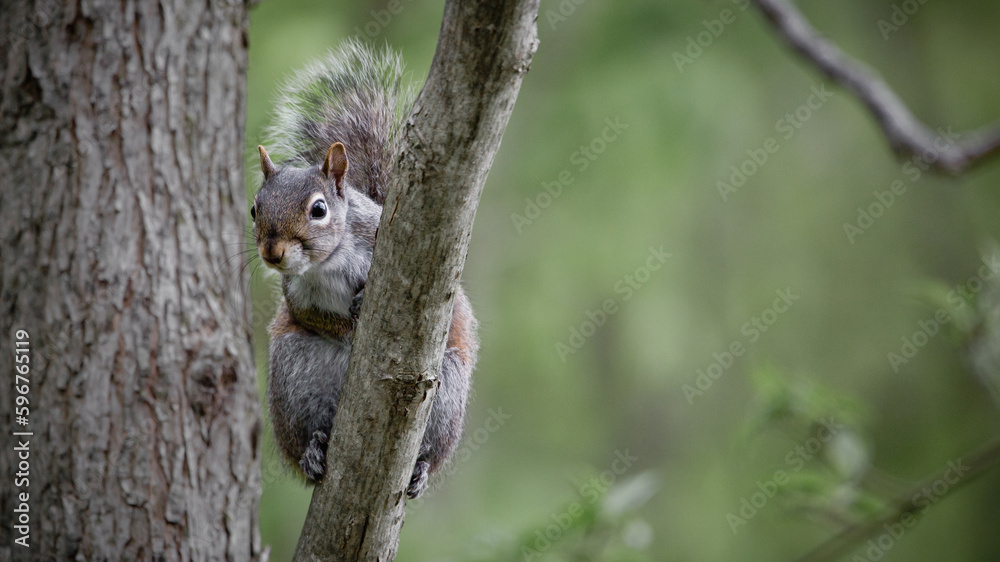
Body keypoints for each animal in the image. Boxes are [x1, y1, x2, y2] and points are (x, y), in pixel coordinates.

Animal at [251, 41, 478, 499]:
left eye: (319, 209)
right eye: (254, 209)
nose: (272, 253)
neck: (328, 262)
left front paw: (358, 305)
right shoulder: (297, 296)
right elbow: (312, 316)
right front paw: (347, 325)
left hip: (447, 395)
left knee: (431, 449)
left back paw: (420, 468)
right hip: (293, 380)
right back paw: (313, 452)